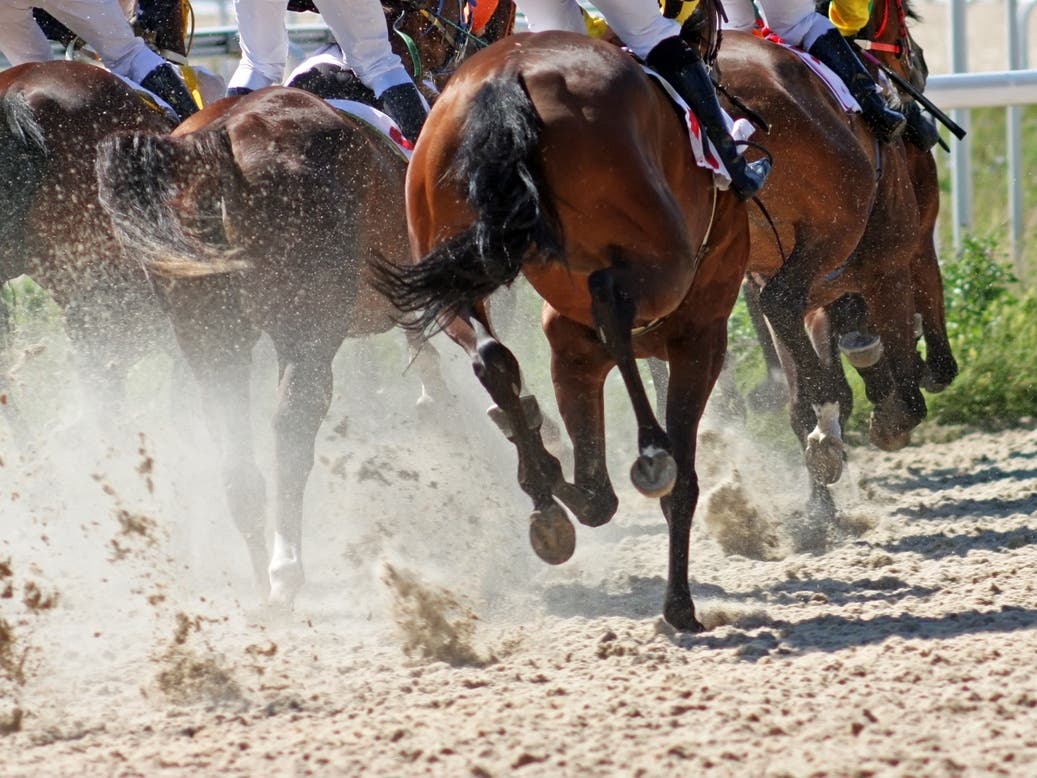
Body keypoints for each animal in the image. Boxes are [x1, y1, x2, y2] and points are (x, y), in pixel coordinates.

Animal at [94, 1, 518, 604]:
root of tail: (218, 148)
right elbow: (479, 353)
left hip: (207, 332)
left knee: (229, 434)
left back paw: (254, 567)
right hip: (307, 327)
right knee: (292, 423)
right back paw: (284, 567)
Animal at [374, 29, 752, 631]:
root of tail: (505, 75)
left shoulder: (570, 348)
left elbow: (597, 495)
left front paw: (545, 476)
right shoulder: (701, 336)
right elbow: (679, 483)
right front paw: (680, 605)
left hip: (446, 253)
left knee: (491, 353)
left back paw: (538, 470)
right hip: (661, 260)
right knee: (610, 300)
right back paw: (650, 450)